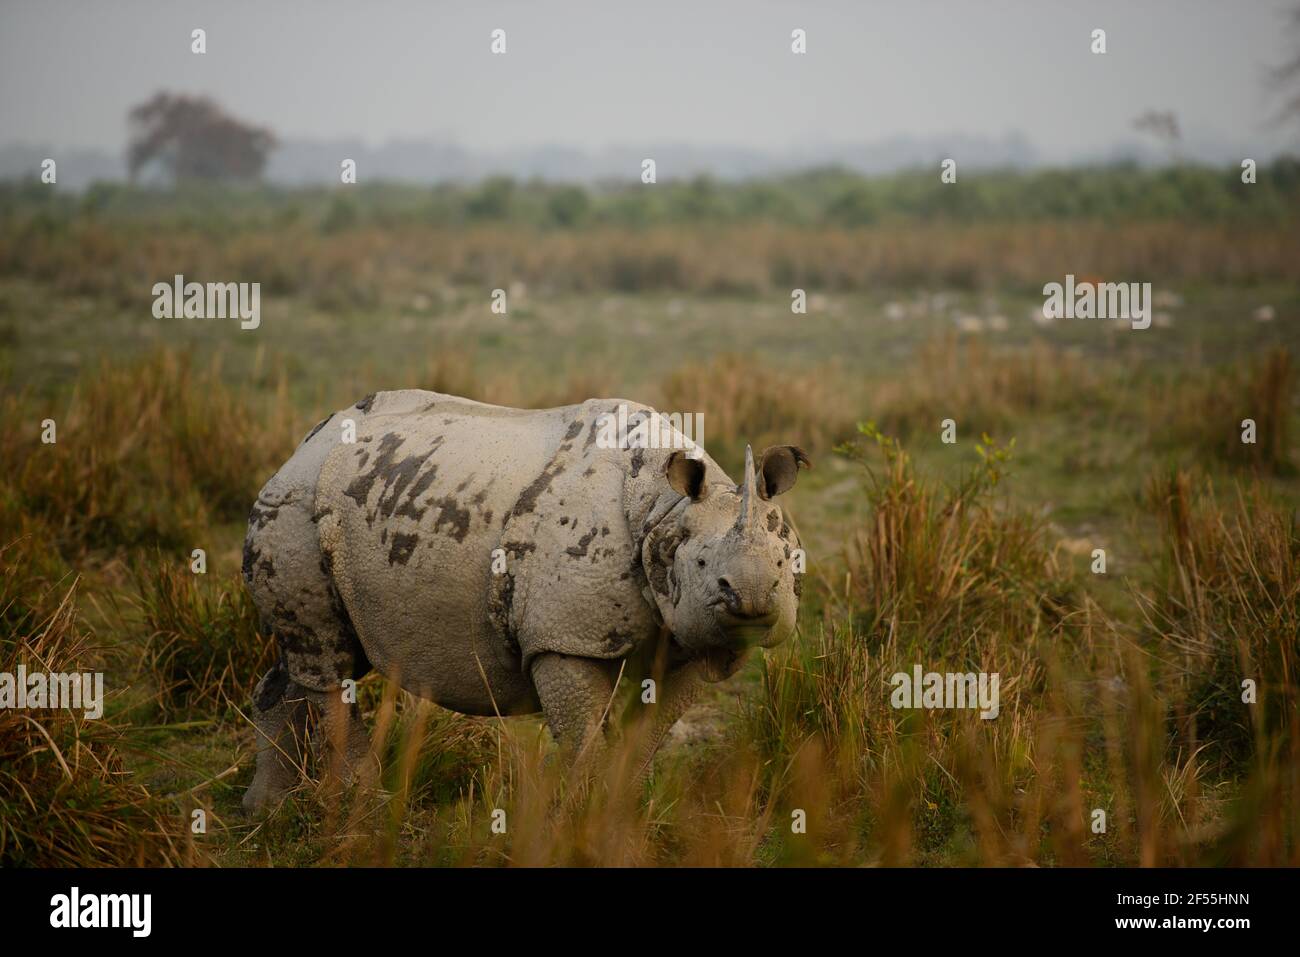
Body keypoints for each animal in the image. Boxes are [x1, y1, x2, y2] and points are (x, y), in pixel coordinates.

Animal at [240, 389, 809, 814]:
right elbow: (583, 734)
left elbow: (649, 731)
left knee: (310, 660)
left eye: (786, 563)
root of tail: (302, 447)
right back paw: (367, 806)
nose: (752, 601)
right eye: (703, 566)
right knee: (330, 665)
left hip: (322, 508)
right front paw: (584, 818)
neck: (662, 510)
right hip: (294, 511)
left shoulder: (688, 638)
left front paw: (623, 809)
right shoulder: (562, 637)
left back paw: (268, 810)